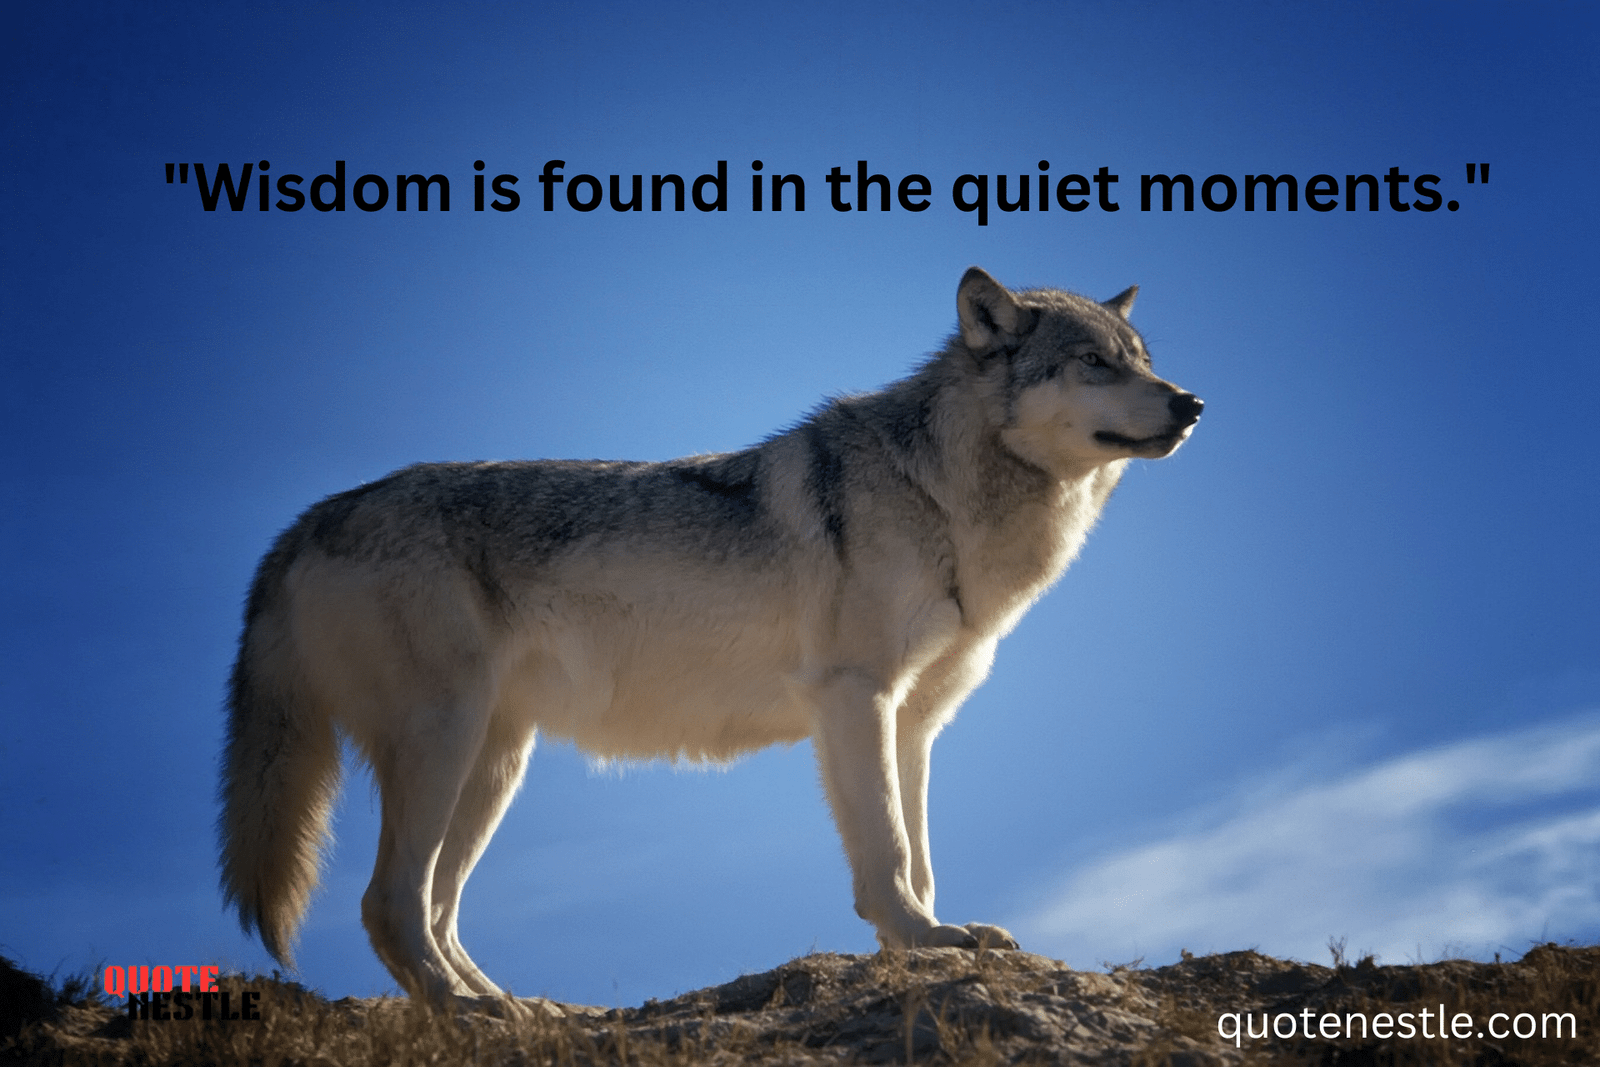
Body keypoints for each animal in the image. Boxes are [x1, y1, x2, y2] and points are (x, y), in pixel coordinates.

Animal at [218, 267, 1202, 1004]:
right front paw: (922, 940)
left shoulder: (915, 722)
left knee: (435, 908)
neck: (940, 494)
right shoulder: (855, 699)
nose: (1191, 403)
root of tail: (304, 521)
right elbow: (887, 851)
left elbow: (919, 854)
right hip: (445, 744)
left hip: (494, 765)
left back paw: (516, 1007)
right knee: (389, 903)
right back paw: (467, 1013)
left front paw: (931, 938)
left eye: (1142, 361)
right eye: (1093, 363)